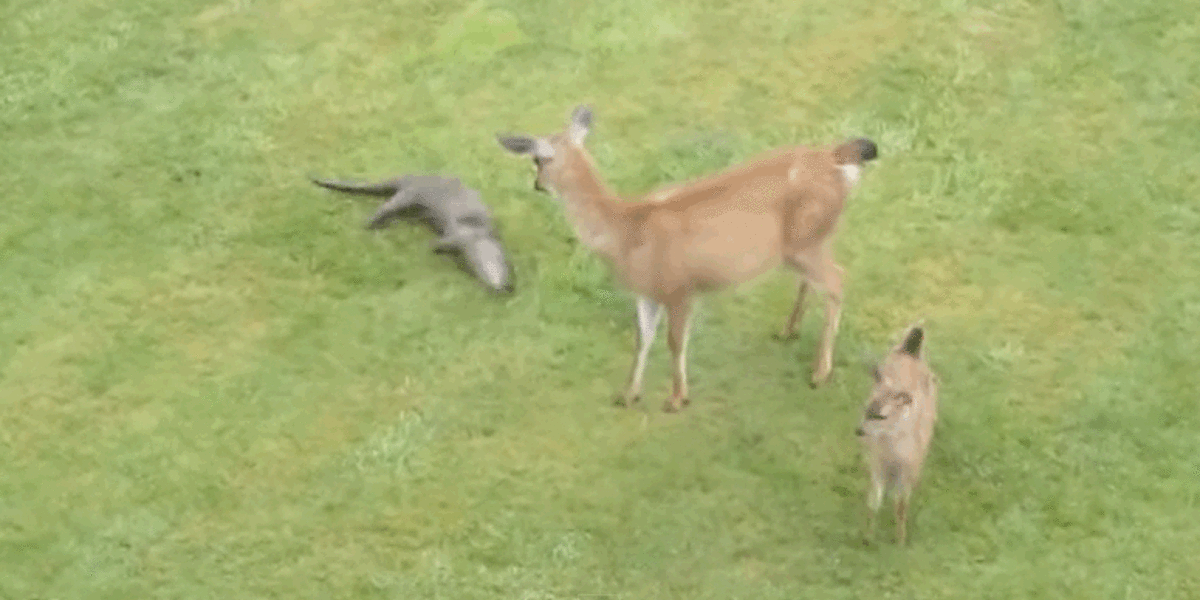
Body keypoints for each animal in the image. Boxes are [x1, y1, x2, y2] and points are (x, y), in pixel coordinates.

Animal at [496, 105, 878, 412]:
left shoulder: (680, 287)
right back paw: (788, 330)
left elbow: (674, 342)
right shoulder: (646, 292)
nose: (537, 184)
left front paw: (677, 398)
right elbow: (642, 340)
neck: (627, 232)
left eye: (536, 159)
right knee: (816, 281)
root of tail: (837, 158)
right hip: (805, 244)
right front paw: (628, 394)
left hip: (806, 243)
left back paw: (820, 372)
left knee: (838, 280)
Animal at [855, 322, 940, 546]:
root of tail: (910, 349)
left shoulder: (909, 468)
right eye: (866, 409)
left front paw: (900, 540)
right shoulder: (878, 462)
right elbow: (874, 500)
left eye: (882, 416)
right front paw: (867, 537)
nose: (859, 431)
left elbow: (901, 505)